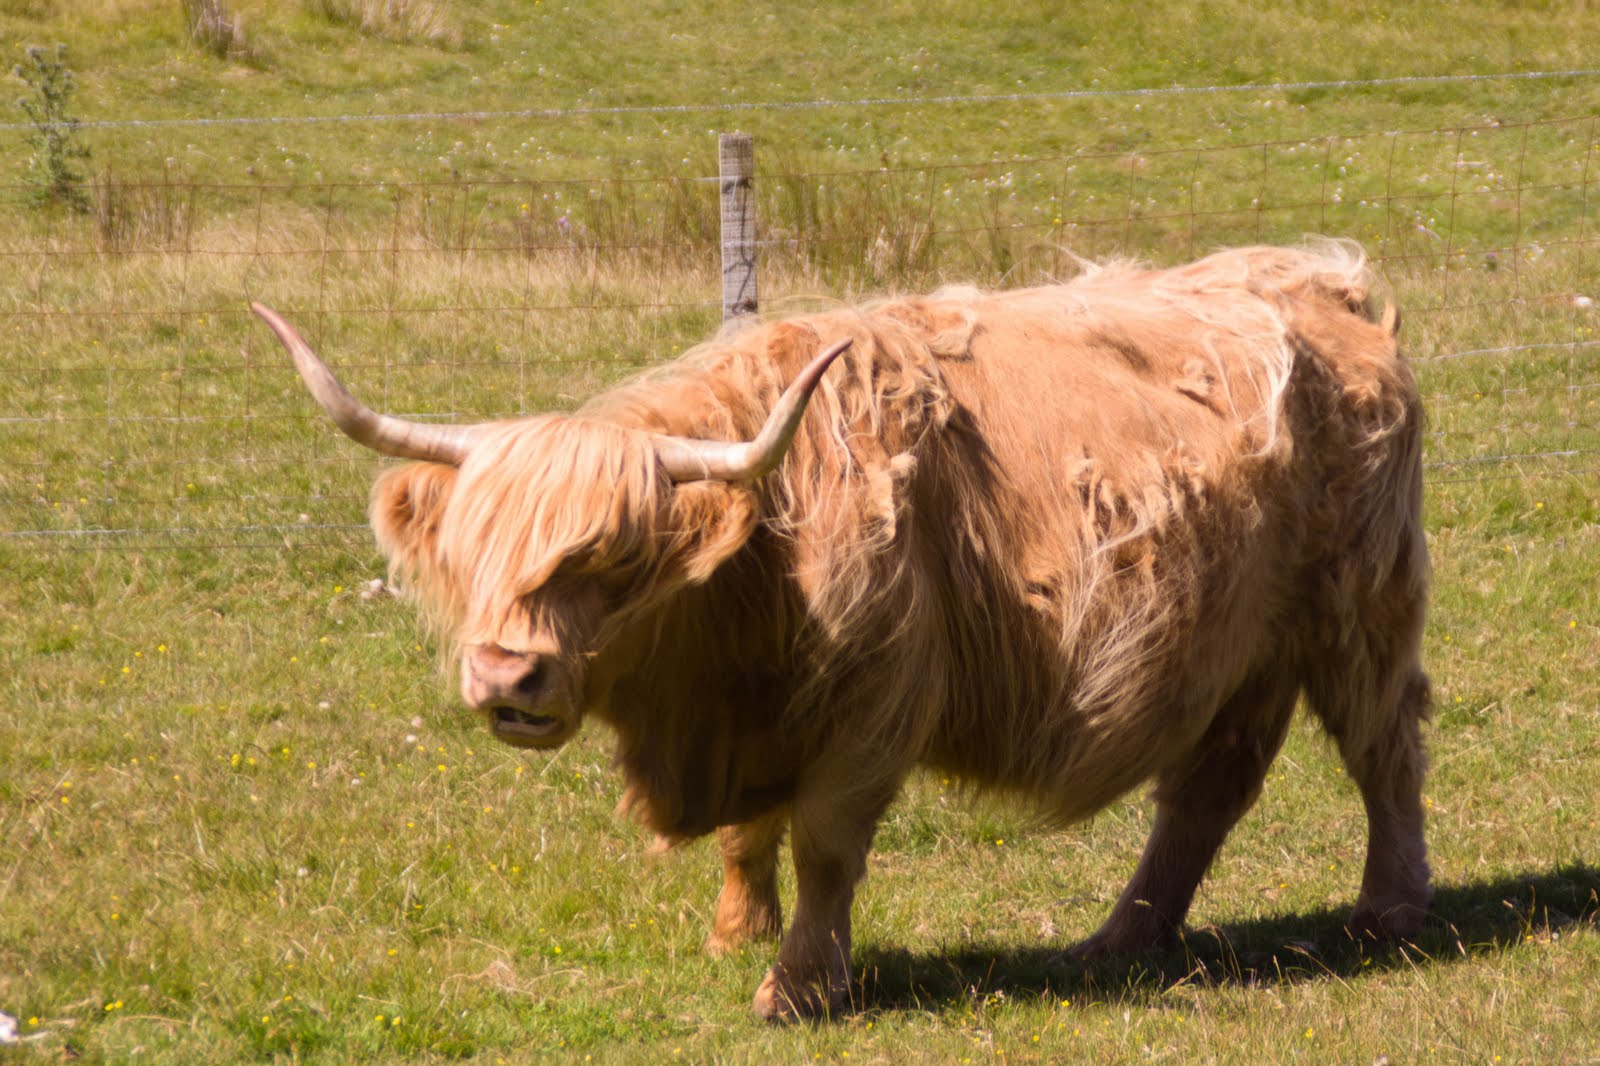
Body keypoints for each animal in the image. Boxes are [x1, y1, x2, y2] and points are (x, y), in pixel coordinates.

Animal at [253, 241, 1432, 1020]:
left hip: (1359, 606)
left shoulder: (877, 700)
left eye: (615, 563)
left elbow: (824, 842)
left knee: (1385, 748)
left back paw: (1388, 909)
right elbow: (748, 833)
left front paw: (798, 984)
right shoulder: (755, 722)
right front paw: (735, 933)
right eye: (474, 555)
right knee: (1207, 789)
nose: (508, 675)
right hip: (1241, 648)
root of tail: (1320, 282)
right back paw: (1119, 939)